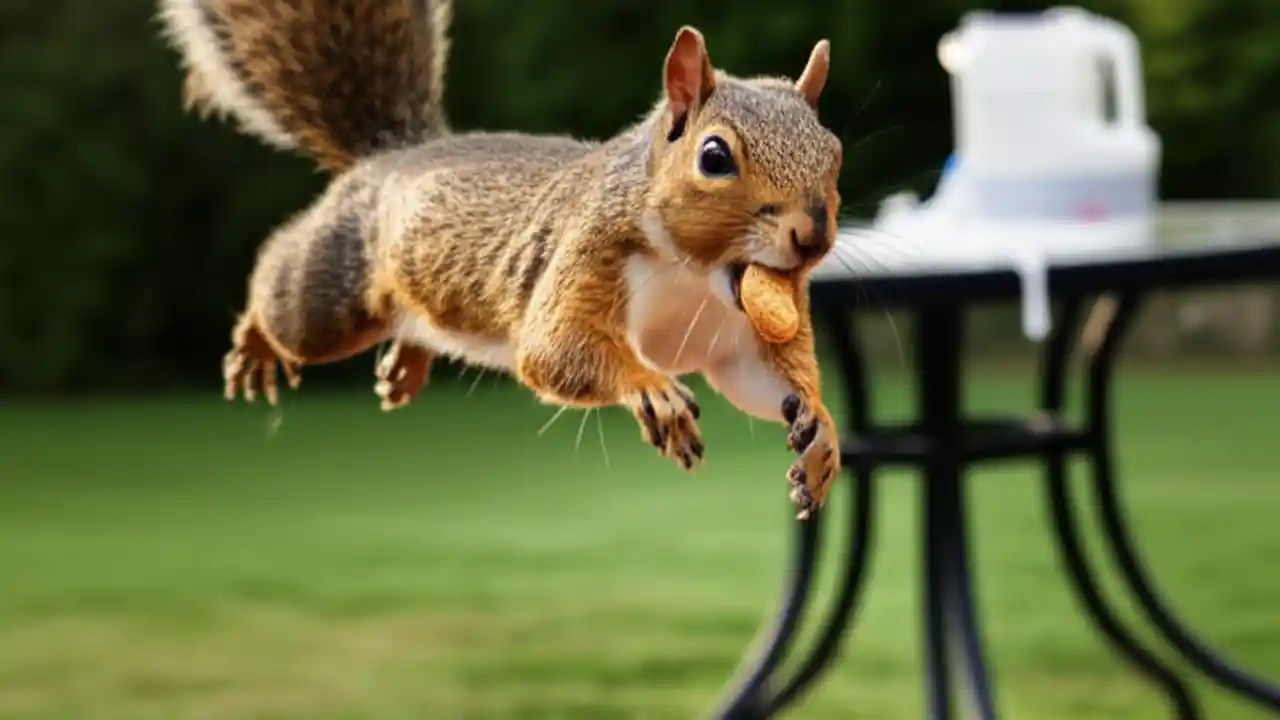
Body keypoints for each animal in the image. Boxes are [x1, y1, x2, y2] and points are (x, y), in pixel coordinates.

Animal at [159, 0, 845, 517]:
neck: (696, 277)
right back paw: (256, 345)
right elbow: (554, 348)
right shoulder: (585, 254)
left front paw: (818, 429)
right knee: (282, 283)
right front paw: (652, 389)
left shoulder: (740, 339)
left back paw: (406, 362)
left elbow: (765, 380)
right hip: (328, 298)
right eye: (714, 156)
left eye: (834, 152)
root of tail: (391, 155)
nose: (813, 235)